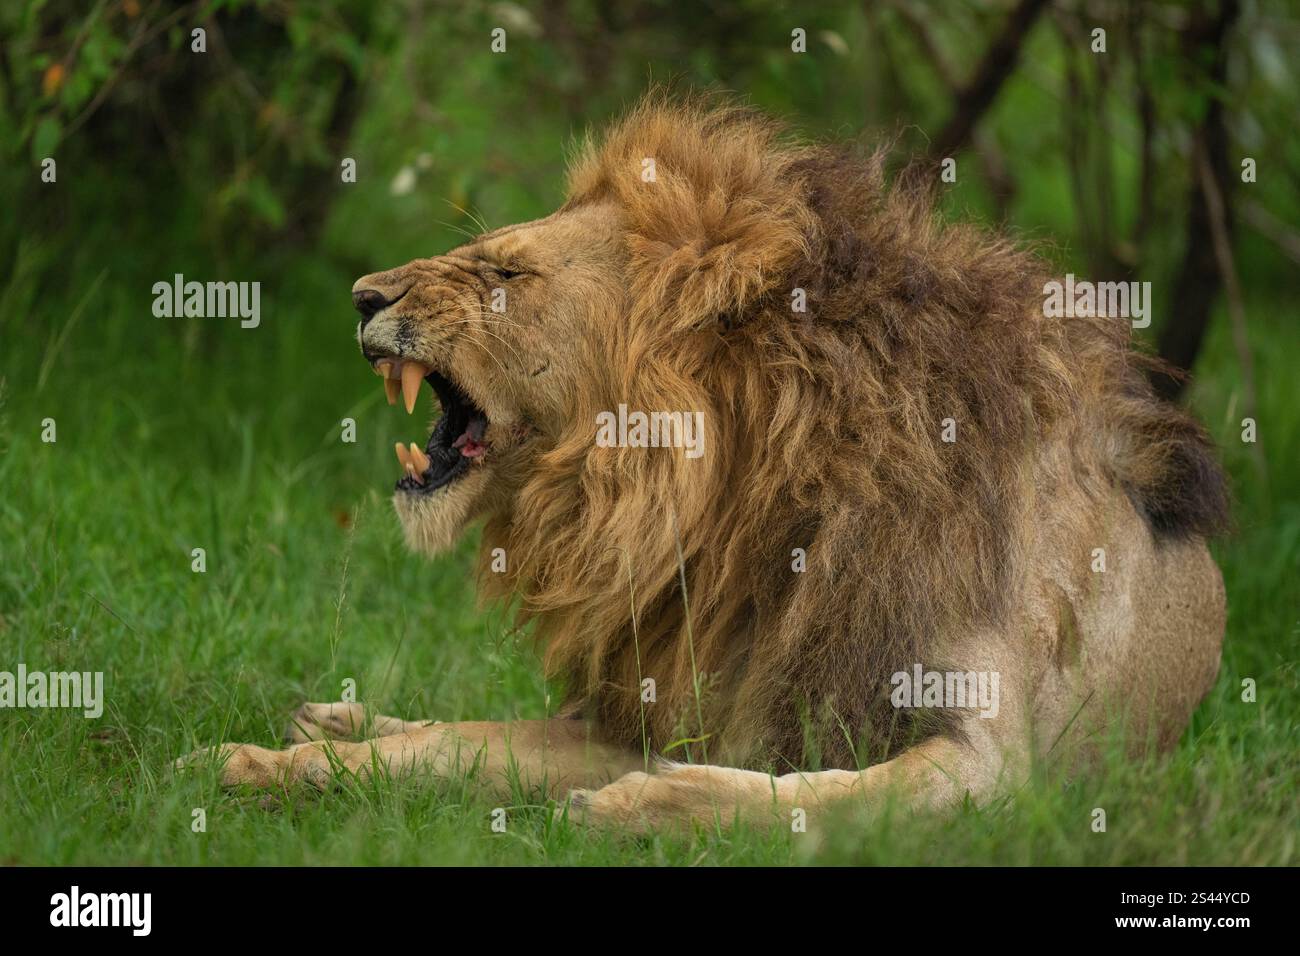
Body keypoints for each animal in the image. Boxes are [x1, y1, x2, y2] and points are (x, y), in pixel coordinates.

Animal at [180, 94, 1229, 830]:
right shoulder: (682, 705)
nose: (363, 296)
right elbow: (466, 744)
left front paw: (638, 810)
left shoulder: (993, 767)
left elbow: (816, 801)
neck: (763, 503)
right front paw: (258, 768)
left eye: (507, 272)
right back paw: (332, 720)